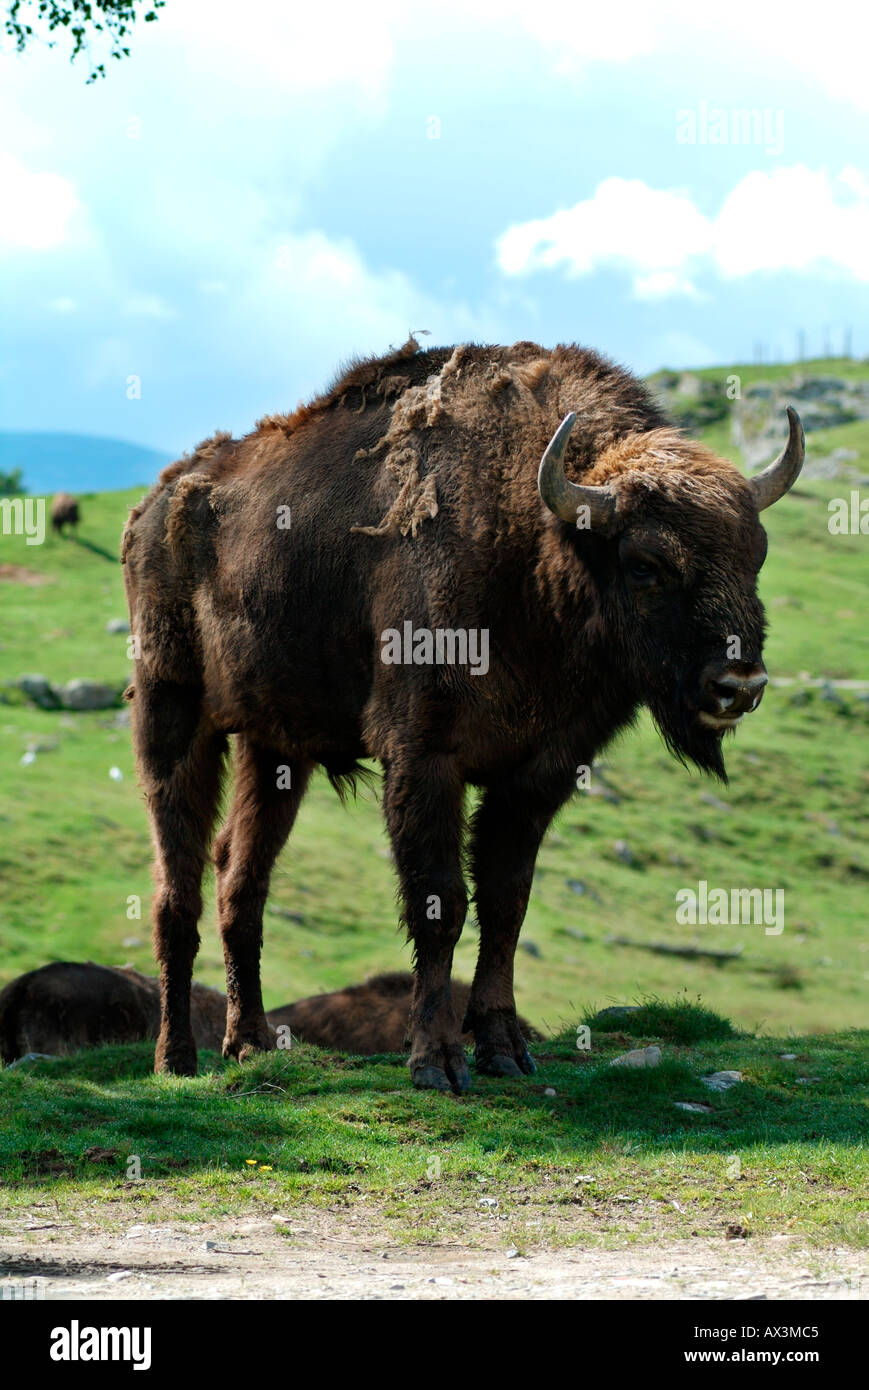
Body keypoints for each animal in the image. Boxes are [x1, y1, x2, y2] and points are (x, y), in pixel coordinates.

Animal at [120, 337, 804, 1093]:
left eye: (755, 554)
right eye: (646, 563)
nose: (738, 685)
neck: (533, 541)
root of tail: (155, 505)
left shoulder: (537, 775)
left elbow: (505, 904)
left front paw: (503, 1049)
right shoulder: (425, 758)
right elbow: (440, 903)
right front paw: (437, 1062)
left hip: (274, 747)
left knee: (241, 880)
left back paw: (251, 1045)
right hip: (172, 713)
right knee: (176, 886)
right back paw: (176, 1059)